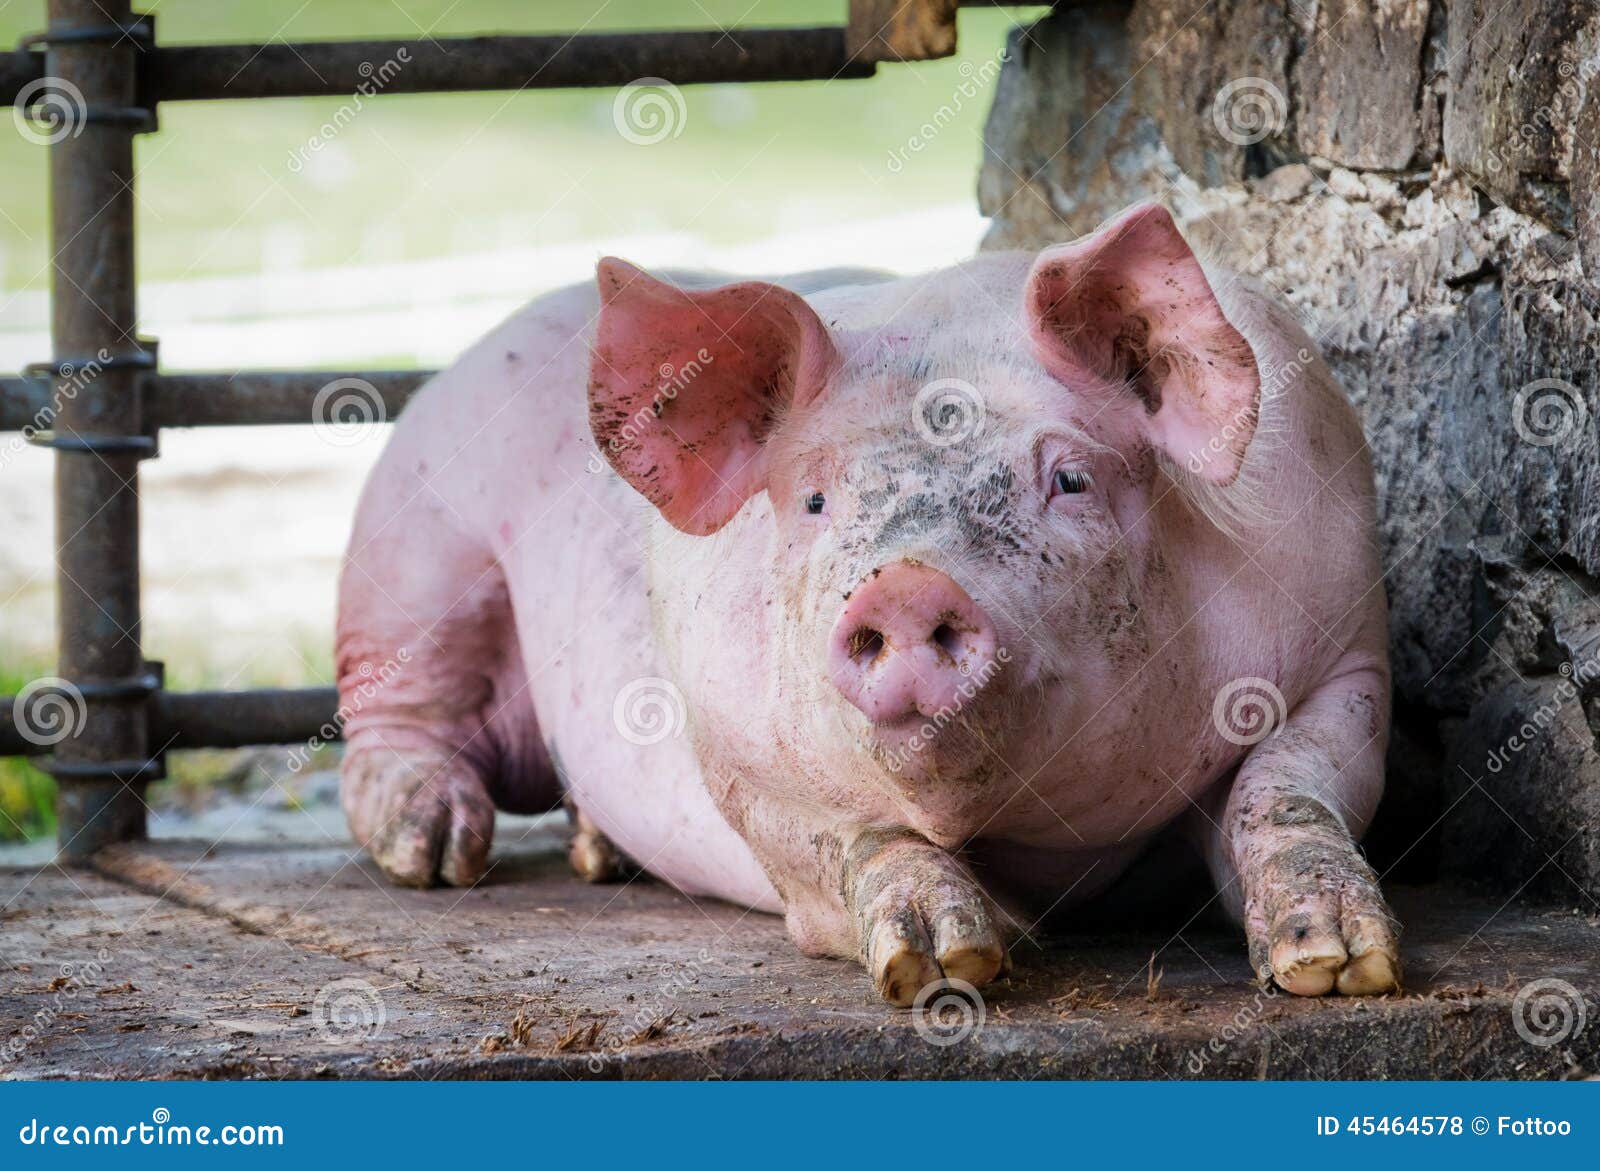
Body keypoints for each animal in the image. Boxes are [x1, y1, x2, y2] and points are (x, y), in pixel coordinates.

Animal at [337, 202, 1400, 1005]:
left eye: (1069, 479)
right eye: (814, 501)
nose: (908, 581)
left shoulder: (1347, 645)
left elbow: (1286, 789)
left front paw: (1335, 967)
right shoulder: (729, 752)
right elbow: (849, 833)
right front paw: (948, 962)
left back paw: (595, 853)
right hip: (411, 552)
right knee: (394, 722)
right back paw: (436, 852)